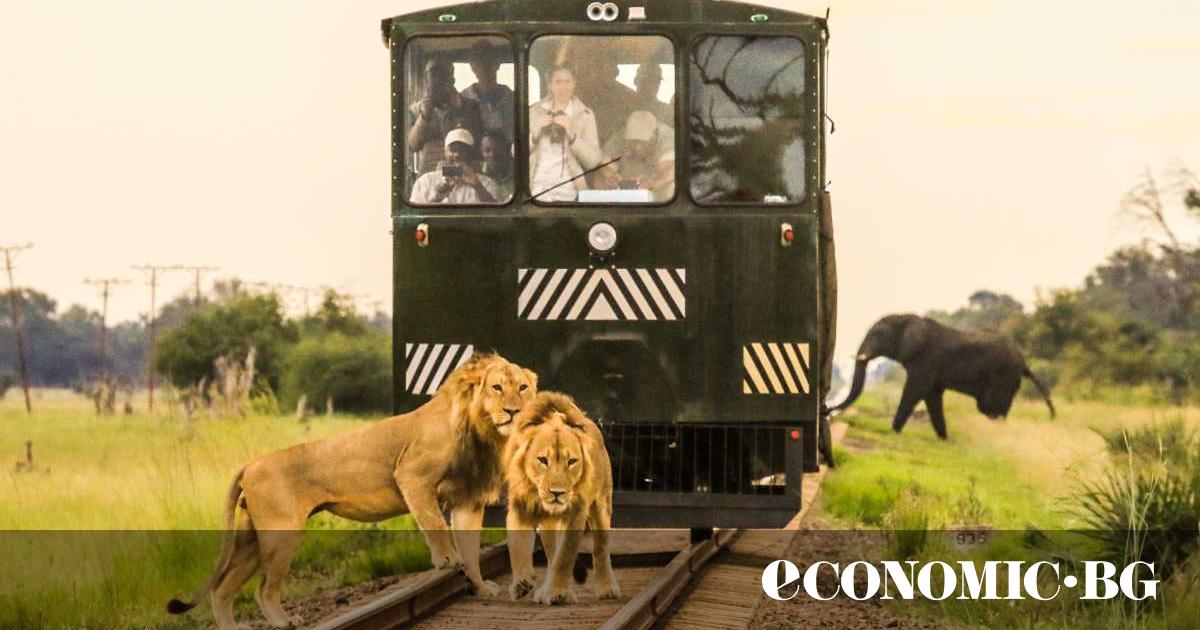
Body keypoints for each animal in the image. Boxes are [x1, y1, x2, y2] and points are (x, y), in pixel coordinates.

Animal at [829, 314, 1055, 439]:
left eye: (879, 335)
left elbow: (914, 392)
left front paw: (892, 431)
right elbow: (932, 397)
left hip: (1003, 378)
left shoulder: (925, 360)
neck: (909, 318)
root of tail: (1024, 363)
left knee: (991, 409)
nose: (828, 410)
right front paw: (944, 439)